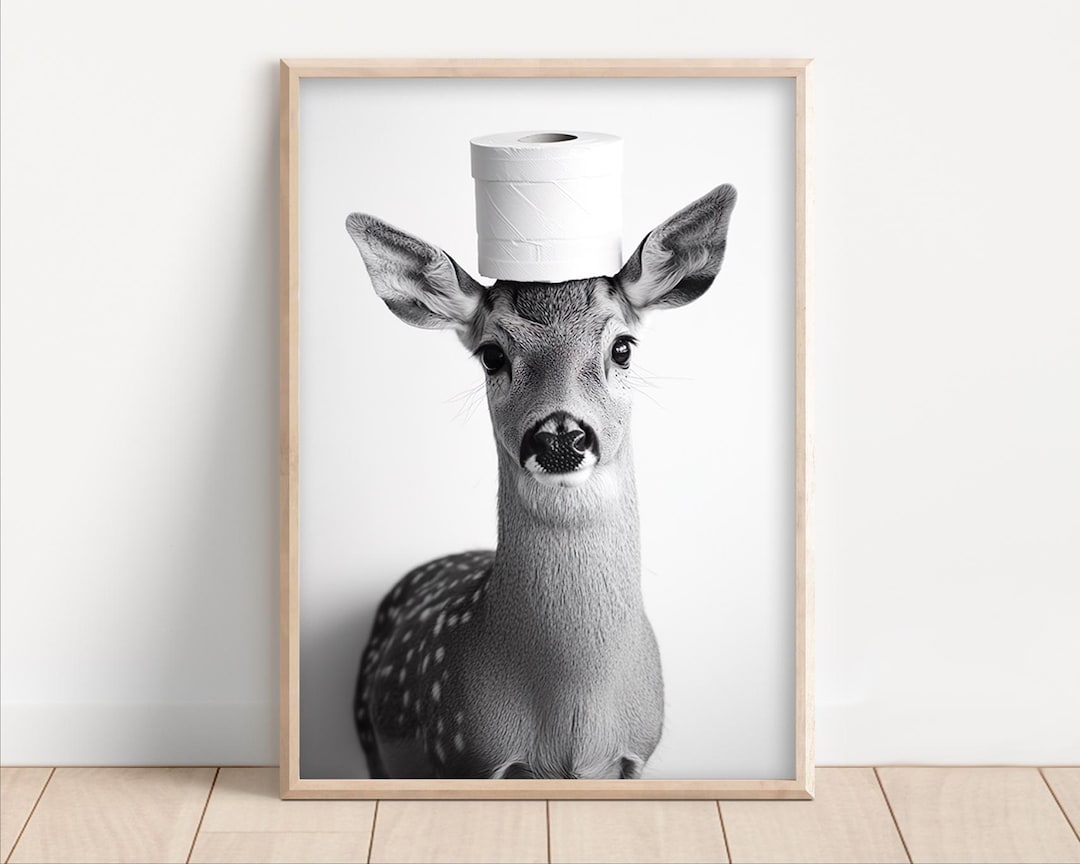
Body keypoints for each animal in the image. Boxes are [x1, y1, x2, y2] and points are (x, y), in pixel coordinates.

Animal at [345, 183, 737, 779]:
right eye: (491, 355)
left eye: (622, 347)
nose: (559, 436)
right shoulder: (467, 752)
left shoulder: (637, 753)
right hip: (369, 739)